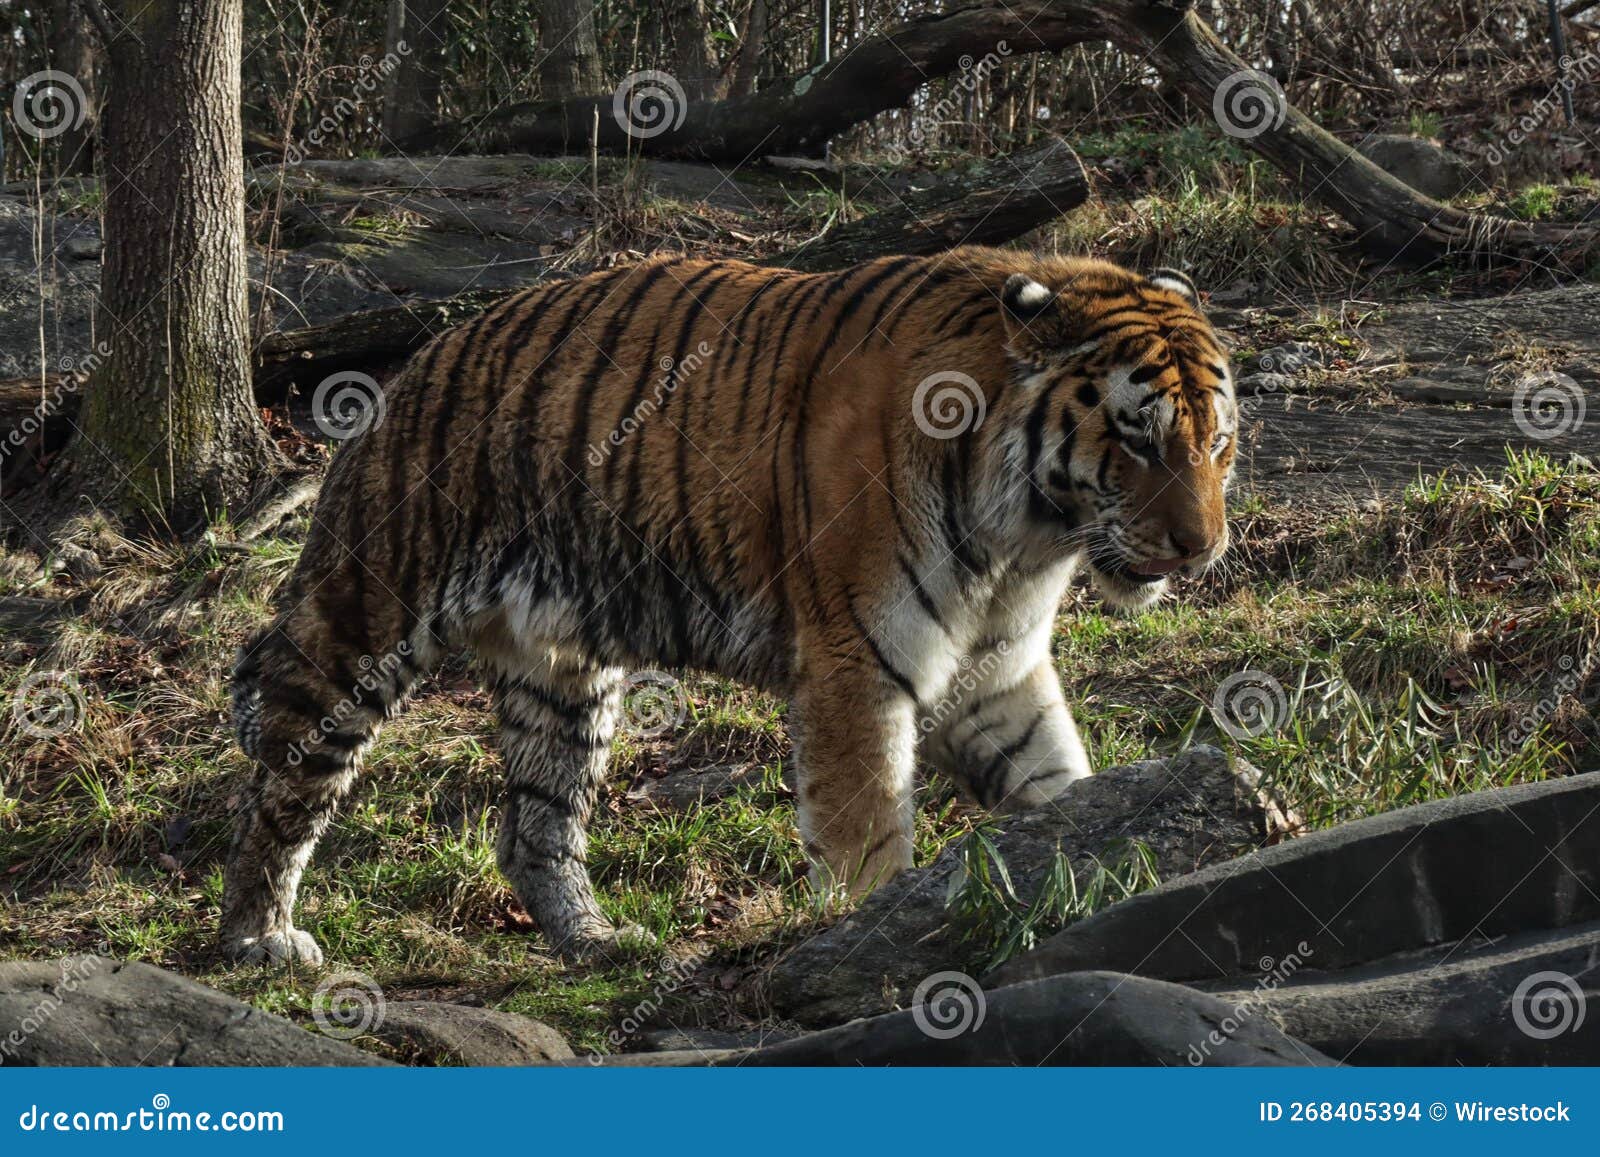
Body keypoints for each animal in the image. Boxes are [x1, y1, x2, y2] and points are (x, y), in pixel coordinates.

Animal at [223, 246, 1237, 966]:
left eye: (1217, 443)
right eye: (1137, 439)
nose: (1203, 545)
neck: (1024, 539)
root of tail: (415, 364)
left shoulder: (997, 671)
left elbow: (1057, 781)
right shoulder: (857, 666)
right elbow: (868, 832)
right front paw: (865, 940)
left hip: (565, 676)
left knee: (534, 827)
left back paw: (596, 941)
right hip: (367, 613)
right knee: (282, 776)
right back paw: (260, 936)